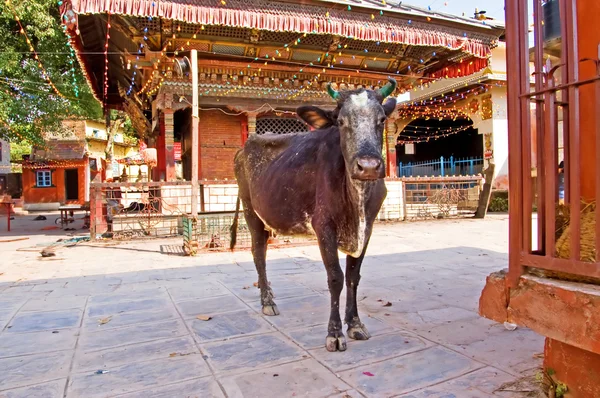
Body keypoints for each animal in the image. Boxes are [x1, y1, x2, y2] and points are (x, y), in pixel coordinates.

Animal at [231, 78, 398, 352]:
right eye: (340, 121)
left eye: (382, 119)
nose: (368, 166)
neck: (356, 202)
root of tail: (244, 147)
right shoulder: (323, 226)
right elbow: (335, 278)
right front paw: (335, 333)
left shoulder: (367, 227)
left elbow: (353, 277)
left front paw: (355, 324)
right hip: (250, 211)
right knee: (258, 255)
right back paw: (267, 301)